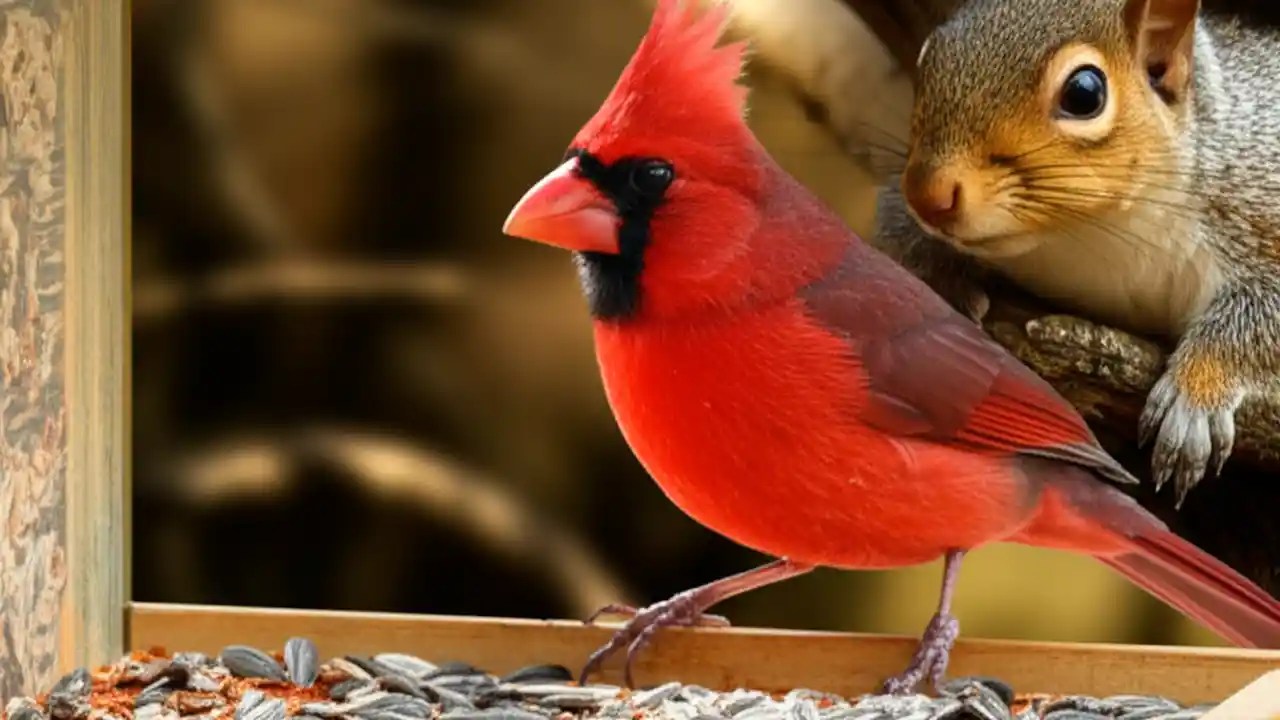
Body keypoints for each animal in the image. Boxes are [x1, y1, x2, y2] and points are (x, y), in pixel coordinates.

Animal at [872, 0, 1280, 508]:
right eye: (929, 54)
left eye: (1084, 93)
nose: (927, 195)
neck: (1093, 234)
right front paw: (936, 277)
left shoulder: (1254, 199)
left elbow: (1260, 311)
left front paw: (1197, 390)